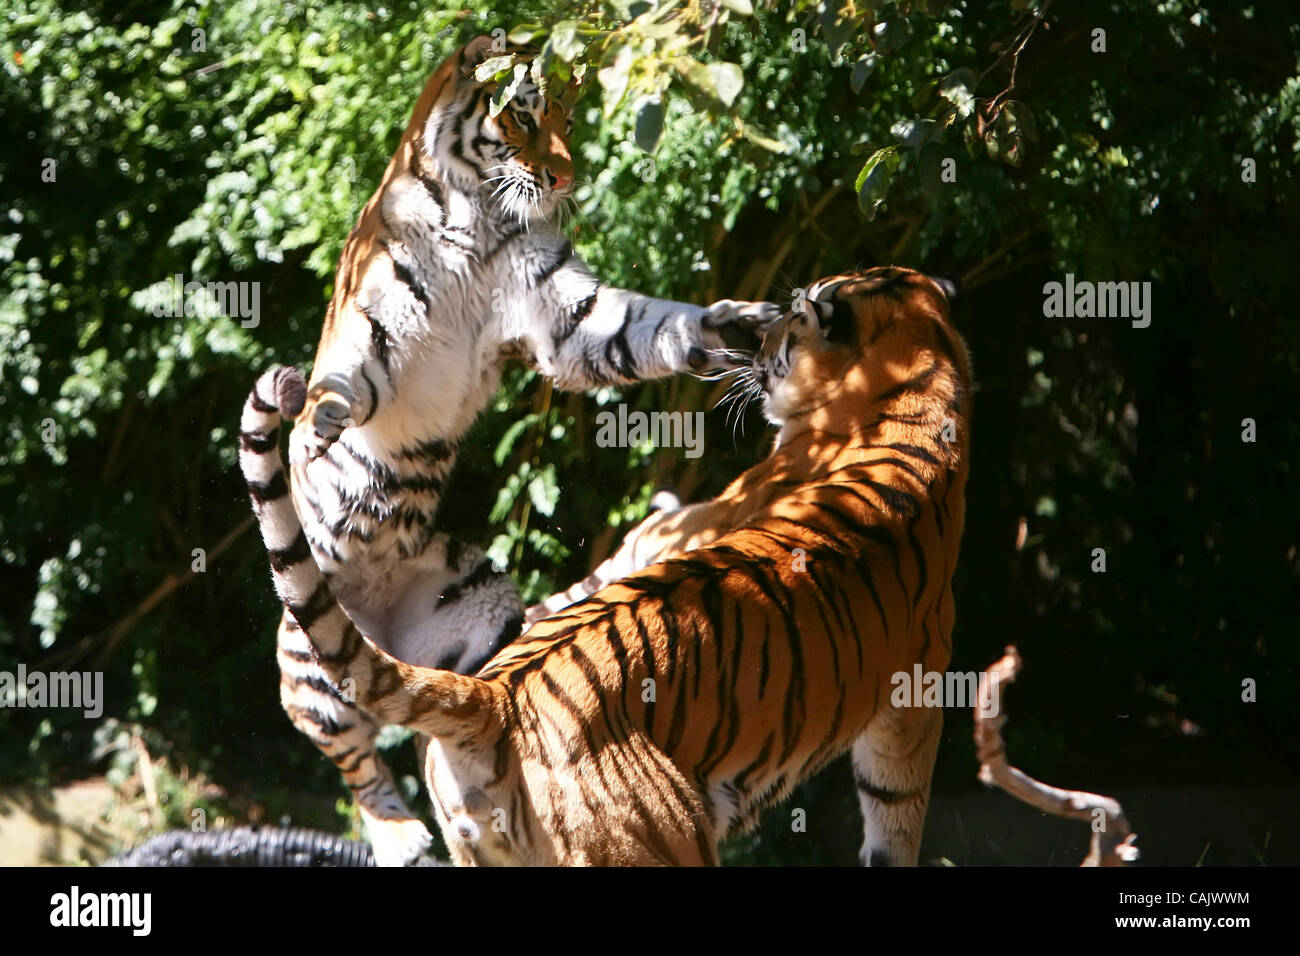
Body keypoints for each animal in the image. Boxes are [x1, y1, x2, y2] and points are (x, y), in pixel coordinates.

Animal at [242, 266, 971, 865]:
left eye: (789, 325)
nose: (758, 350)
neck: (922, 383)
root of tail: (498, 696)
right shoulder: (913, 687)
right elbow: (897, 808)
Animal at [250, 34, 777, 866]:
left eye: (570, 117)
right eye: (525, 116)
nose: (565, 176)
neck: (478, 215)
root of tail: (376, 612)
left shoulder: (565, 314)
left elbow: (648, 326)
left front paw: (728, 325)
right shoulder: (375, 319)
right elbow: (347, 381)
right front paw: (322, 426)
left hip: (478, 610)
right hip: (313, 675)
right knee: (357, 758)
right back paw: (399, 835)